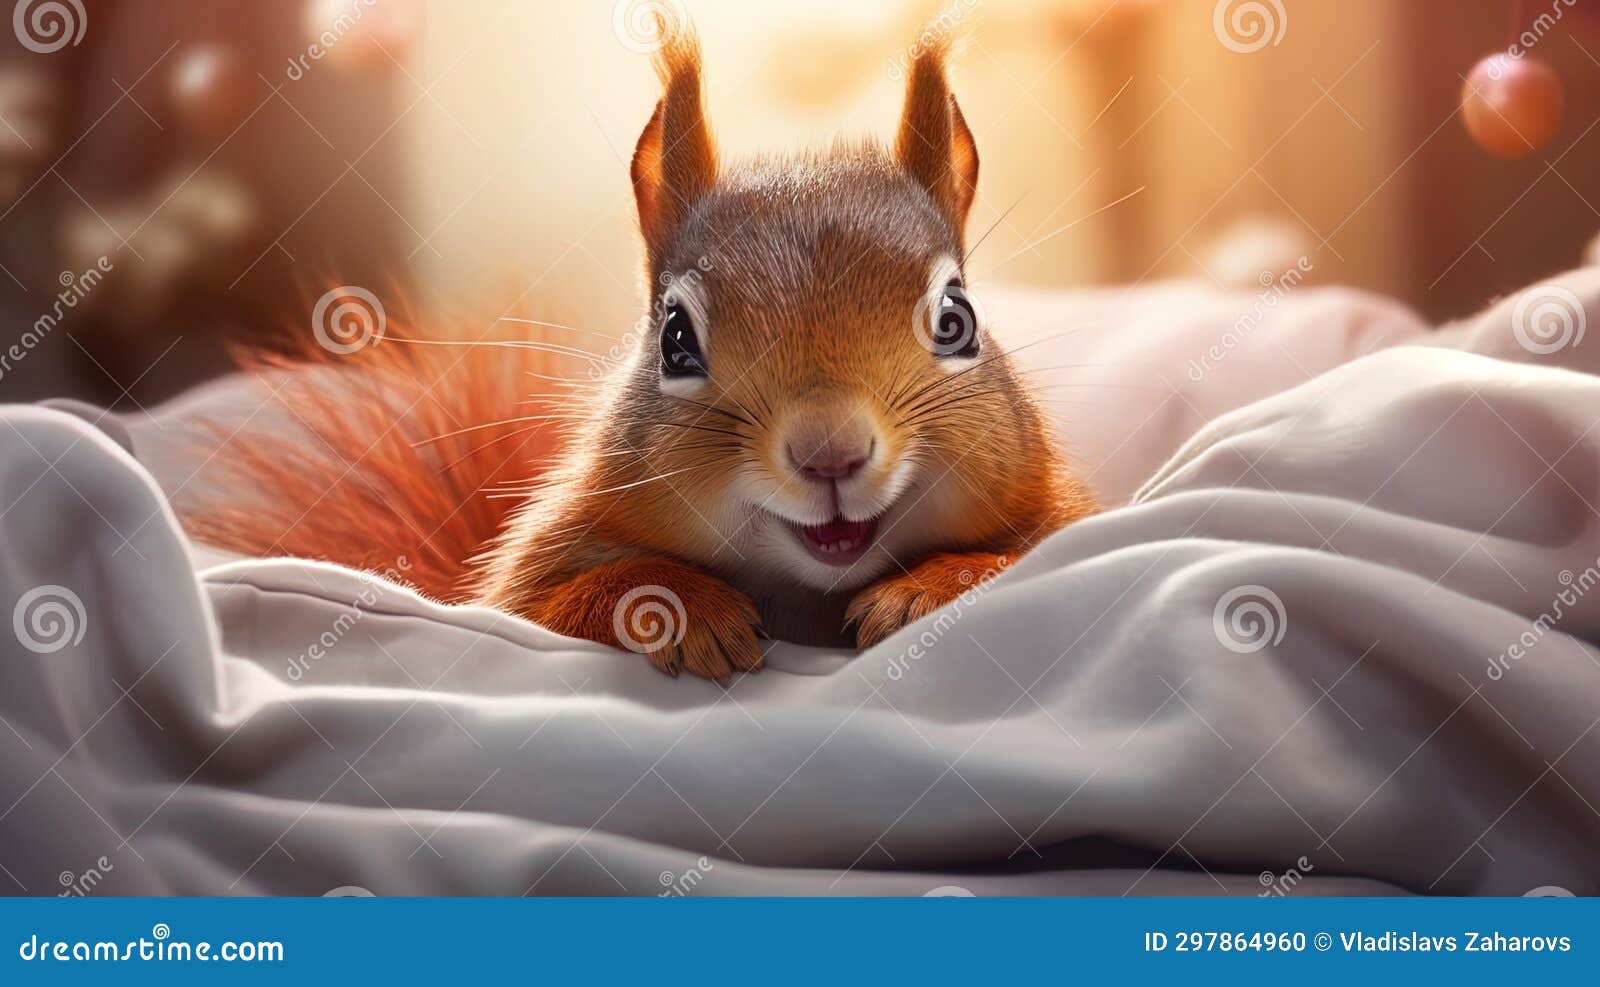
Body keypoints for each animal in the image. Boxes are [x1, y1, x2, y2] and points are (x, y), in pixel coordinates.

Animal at [182, 29, 1095, 680]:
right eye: (675, 338)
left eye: (956, 319)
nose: (829, 451)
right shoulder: (542, 565)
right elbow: (548, 605)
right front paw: (683, 609)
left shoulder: (1062, 514)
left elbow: (1032, 551)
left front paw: (927, 586)